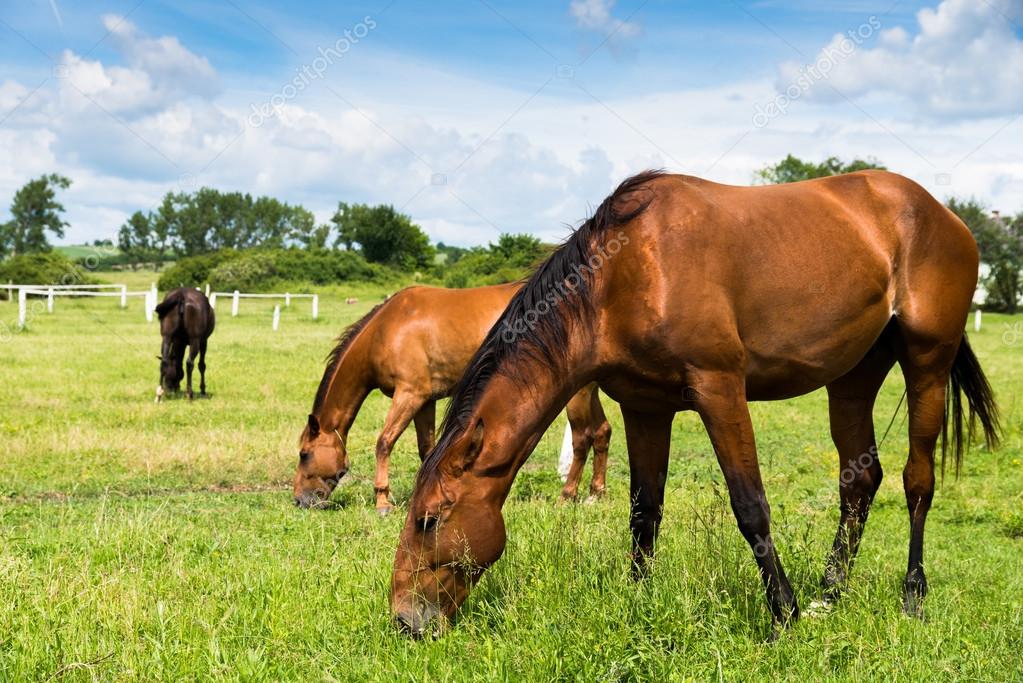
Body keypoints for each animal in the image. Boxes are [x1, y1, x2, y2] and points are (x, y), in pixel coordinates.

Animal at [293, 283, 612, 514]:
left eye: (304, 454)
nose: (298, 500)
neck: (387, 329)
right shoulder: (425, 400)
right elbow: (426, 448)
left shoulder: (409, 394)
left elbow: (384, 442)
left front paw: (382, 502)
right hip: (590, 390)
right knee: (602, 432)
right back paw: (595, 494)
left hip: (578, 394)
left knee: (582, 438)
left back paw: (566, 496)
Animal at [390, 169, 1000, 638]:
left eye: (428, 519)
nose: (404, 620)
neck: (630, 271)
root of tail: (942, 214)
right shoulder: (644, 407)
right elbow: (644, 511)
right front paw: (638, 599)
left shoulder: (720, 389)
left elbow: (750, 506)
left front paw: (783, 615)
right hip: (852, 378)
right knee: (860, 480)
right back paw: (830, 592)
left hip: (927, 363)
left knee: (917, 480)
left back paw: (911, 595)